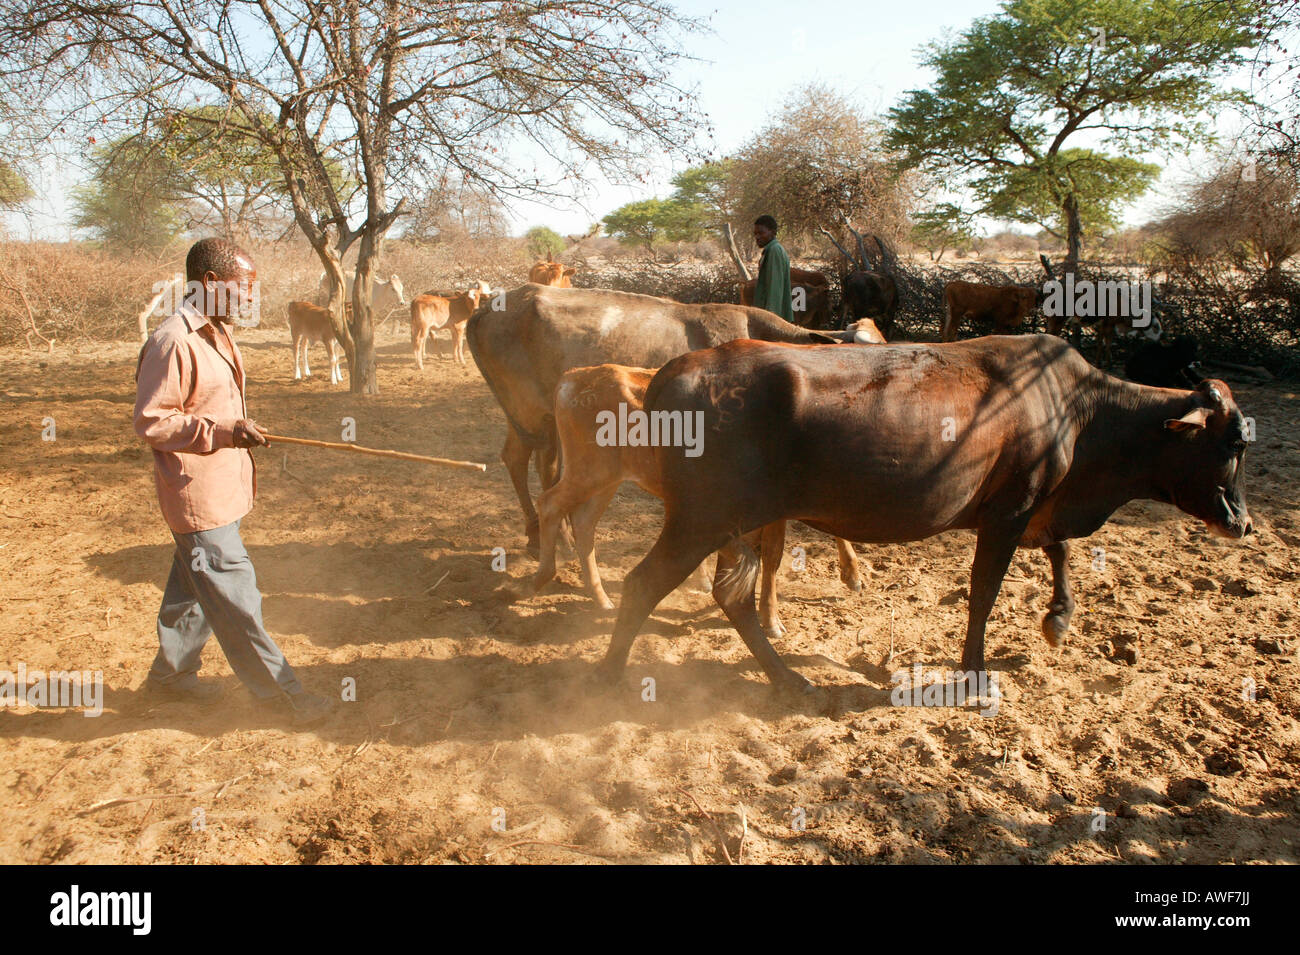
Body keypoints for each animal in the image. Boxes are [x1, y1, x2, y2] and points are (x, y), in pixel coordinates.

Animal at [465, 283, 838, 555]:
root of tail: (488, 307)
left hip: (528, 414)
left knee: (520, 458)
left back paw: (539, 535)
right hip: (530, 412)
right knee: (534, 463)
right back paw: (558, 539)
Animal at [529, 363, 862, 633]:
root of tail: (575, 376)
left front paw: (852, 574)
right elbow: (772, 556)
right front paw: (771, 620)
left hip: (606, 478)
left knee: (584, 523)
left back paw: (600, 598)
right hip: (589, 471)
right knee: (549, 504)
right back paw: (543, 576)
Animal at [596, 335, 1253, 697]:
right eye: (1231, 444)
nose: (1242, 522)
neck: (1078, 408)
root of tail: (671, 373)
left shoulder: (1037, 506)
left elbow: (1060, 550)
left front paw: (1058, 620)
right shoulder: (1009, 511)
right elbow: (984, 591)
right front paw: (975, 670)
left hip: (734, 523)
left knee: (731, 596)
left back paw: (789, 680)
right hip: (701, 519)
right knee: (643, 584)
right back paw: (609, 679)